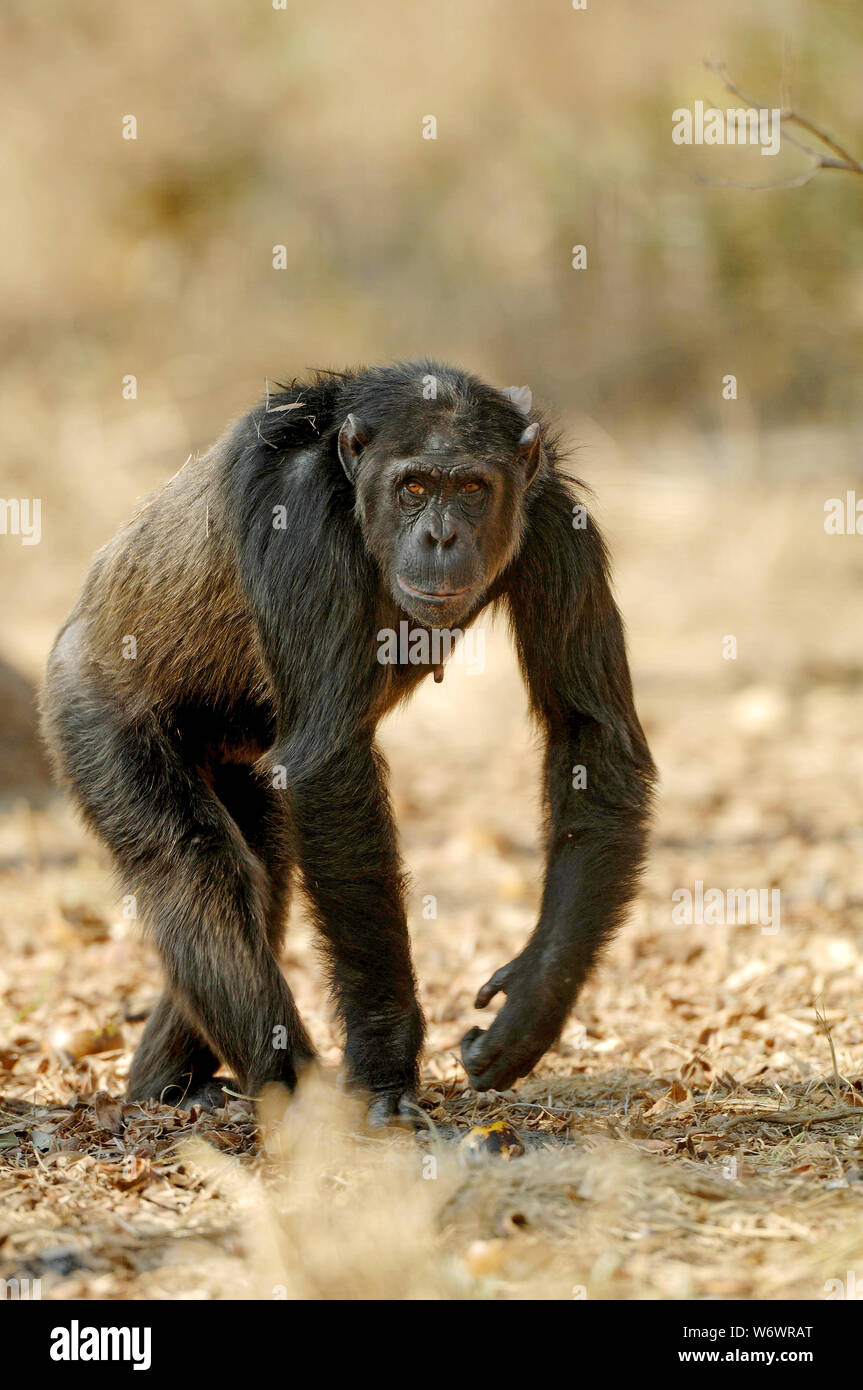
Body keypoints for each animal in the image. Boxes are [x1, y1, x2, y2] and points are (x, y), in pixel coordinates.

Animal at [39, 360, 655, 1125]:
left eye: (472, 489)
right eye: (413, 487)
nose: (441, 535)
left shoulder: (557, 527)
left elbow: (586, 732)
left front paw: (533, 1001)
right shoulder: (300, 520)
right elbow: (330, 763)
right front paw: (386, 1066)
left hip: (230, 759)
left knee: (264, 877)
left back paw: (167, 1084)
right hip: (88, 711)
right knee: (193, 866)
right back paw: (289, 1095)